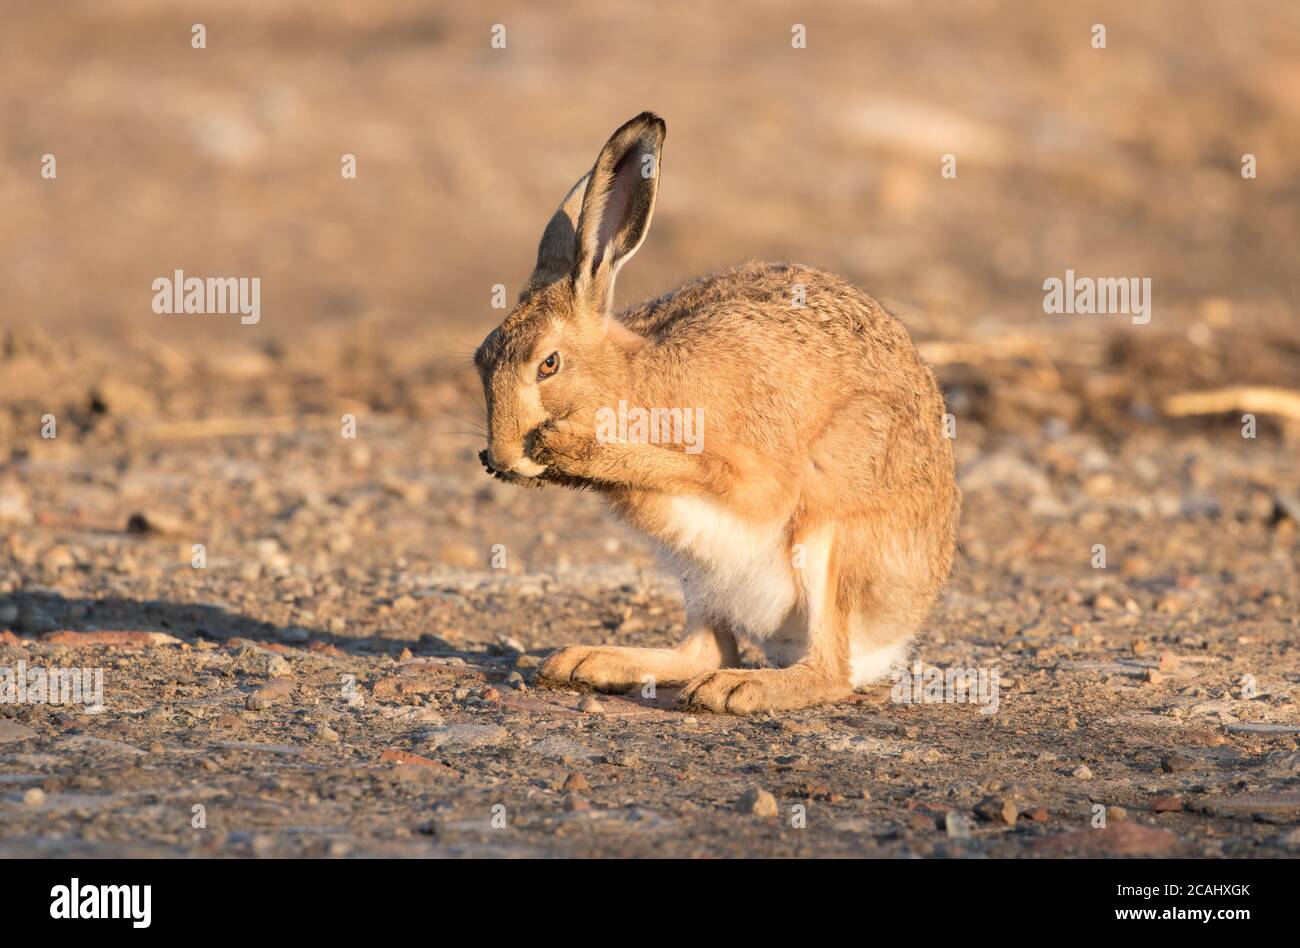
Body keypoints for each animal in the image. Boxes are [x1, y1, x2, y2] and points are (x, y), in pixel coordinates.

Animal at [475, 112, 959, 714]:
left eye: (549, 364)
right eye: (481, 360)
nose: (499, 457)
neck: (629, 379)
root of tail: (896, 634)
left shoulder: (752, 472)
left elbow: (713, 475)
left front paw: (568, 447)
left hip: (829, 530)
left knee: (828, 670)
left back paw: (738, 689)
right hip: (698, 576)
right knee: (707, 651)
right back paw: (585, 661)